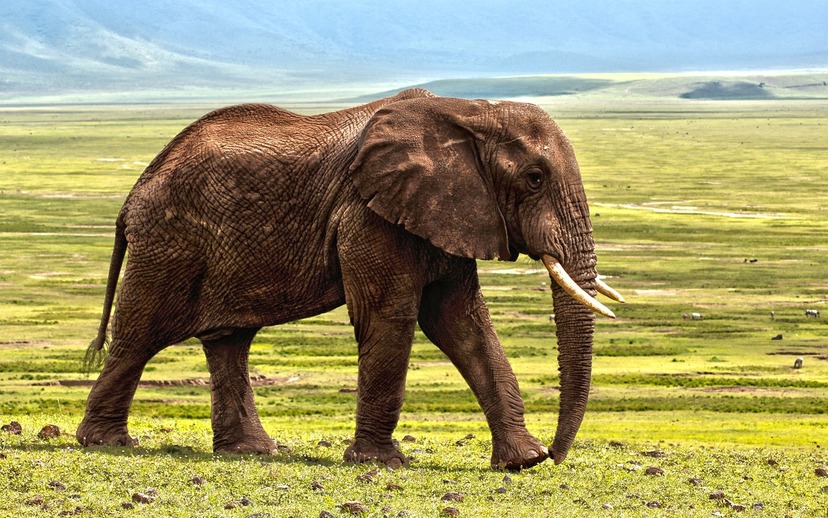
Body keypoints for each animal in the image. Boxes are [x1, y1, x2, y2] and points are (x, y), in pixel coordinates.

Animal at [77, 88, 623, 470]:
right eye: (534, 178)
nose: (556, 455)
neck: (469, 111)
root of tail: (134, 191)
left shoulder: (447, 213)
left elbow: (461, 323)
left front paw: (521, 463)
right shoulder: (368, 214)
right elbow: (391, 317)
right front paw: (383, 464)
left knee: (229, 340)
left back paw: (250, 452)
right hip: (168, 241)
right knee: (140, 333)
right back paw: (106, 443)